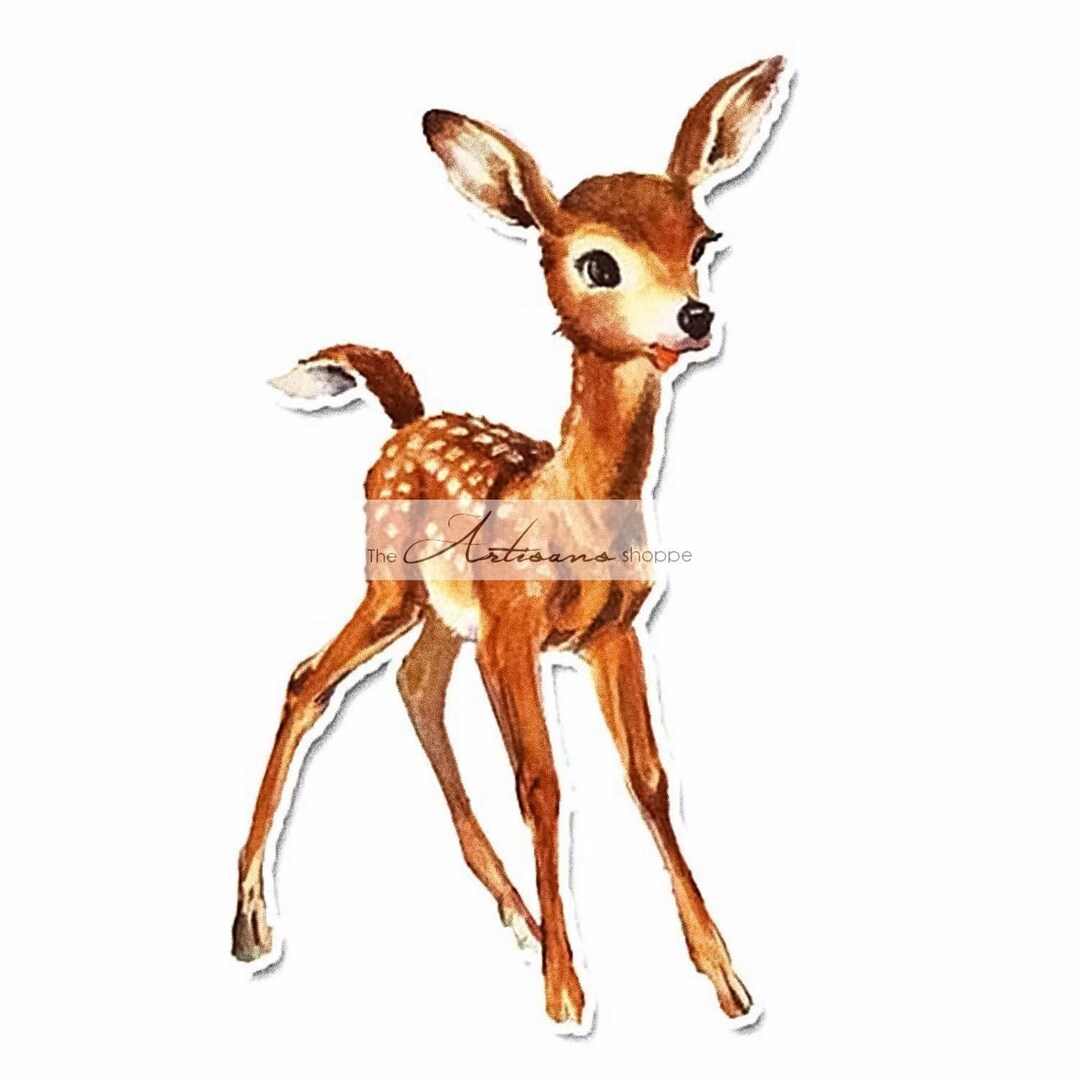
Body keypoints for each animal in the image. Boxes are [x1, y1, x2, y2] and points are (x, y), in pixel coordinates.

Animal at [232, 55, 791, 1033]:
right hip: (392, 586)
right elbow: (543, 784)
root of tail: (406, 422)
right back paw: (253, 922)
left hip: (439, 617)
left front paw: (727, 980)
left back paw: (520, 920)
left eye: (703, 239)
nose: (694, 318)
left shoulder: (613, 632)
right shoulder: (513, 629)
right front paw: (570, 995)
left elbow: (649, 777)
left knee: (414, 690)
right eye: (597, 261)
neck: (566, 508)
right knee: (310, 678)